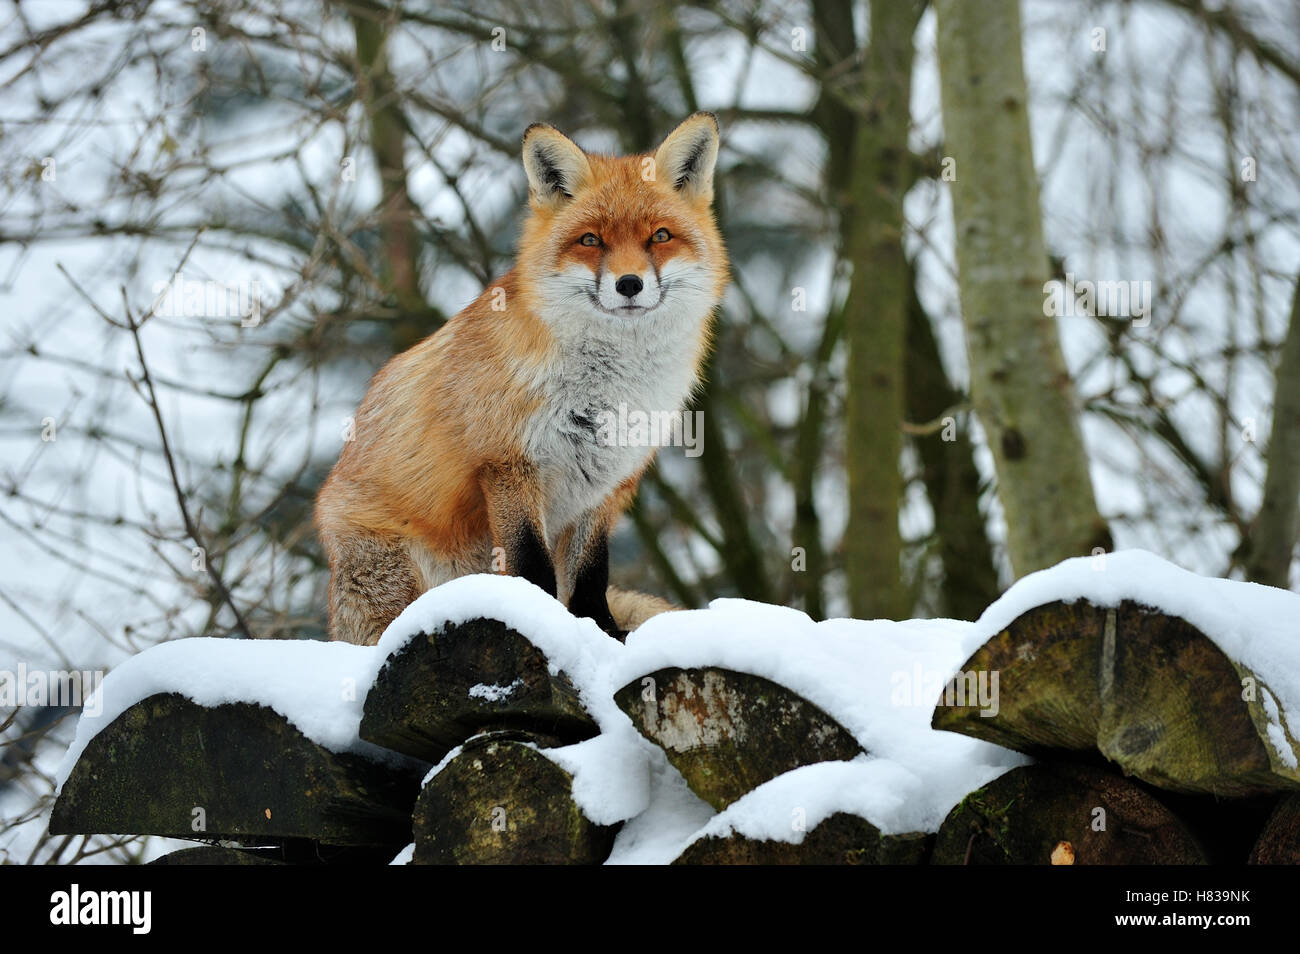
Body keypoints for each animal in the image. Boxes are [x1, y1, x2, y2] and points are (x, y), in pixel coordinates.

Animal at [315, 113, 729, 645]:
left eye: (659, 236)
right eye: (590, 240)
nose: (629, 284)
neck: (608, 389)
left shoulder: (606, 482)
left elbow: (590, 573)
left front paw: (599, 630)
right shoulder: (507, 464)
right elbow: (532, 565)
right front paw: (542, 621)